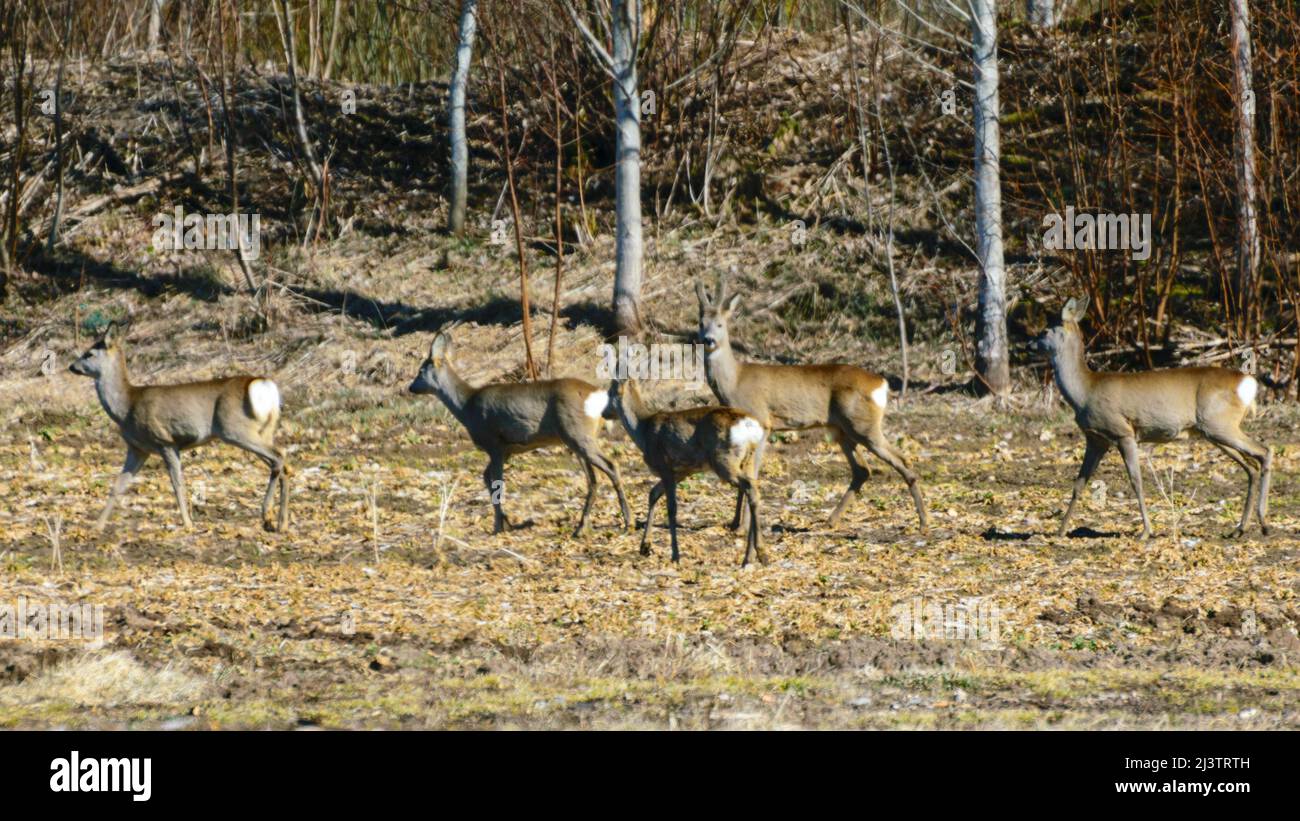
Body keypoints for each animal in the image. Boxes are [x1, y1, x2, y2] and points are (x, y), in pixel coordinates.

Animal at [68, 323, 290, 532]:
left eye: (89, 353)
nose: (72, 366)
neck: (127, 407)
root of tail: (262, 384)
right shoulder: (138, 448)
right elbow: (118, 486)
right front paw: (96, 526)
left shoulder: (165, 441)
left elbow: (177, 484)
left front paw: (188, 523)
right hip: (262, 431)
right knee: (282, 463)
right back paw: (280, 523)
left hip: (234, 429)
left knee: (278, 456)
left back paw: (266, 515)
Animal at [408, 331, 631, 536]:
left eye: (420, 371)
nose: (410, 388)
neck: (466, 406)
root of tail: (598, 396)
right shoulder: (506, 450)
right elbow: (486, 477)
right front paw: (506, 522)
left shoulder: (494, 443)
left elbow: (497, 483)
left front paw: (499, 527)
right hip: (575, 439)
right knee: (593, 479)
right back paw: (581, 528)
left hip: (578, 434)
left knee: (612, 466)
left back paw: (627, 522)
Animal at [606, 378, 766, 566]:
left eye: (609, 392)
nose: (604, 413)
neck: (642, 430)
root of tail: (751, 428)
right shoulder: (681, 472)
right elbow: (653, 494)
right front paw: (645, 546)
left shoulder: (665, 466)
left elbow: (671, 508)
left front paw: (675, 555)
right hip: (747, 460)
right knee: (753, 489)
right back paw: (751, 556)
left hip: (724, 460)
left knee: (750, 487)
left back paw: (760, 553)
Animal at [696, 274, 928, 533]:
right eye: (701, 322)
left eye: (720, 324)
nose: (708, 340)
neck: (735, 380)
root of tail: (882, 383)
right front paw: (735, 523)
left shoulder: (763, 422)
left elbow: (751, 473)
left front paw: (743, 527)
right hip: (842, 429)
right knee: (862, 470)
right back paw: (831, 520)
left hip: (863, 425)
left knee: (901, 459)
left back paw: (923, 522)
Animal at [1030, 297, 1273, 539]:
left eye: (1045, 330)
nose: (1029, 345)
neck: (1084, 392)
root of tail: (1247, 382)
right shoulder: (1096, 439)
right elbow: (1079, 484)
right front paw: (1060, 531)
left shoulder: (1123, 432)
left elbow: (1136, 481)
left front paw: (1146, 531)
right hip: (1214, 431)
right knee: (1251, 465)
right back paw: (1240, 528)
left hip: (1219, 425)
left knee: (1264, 451)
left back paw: (1263, 523)